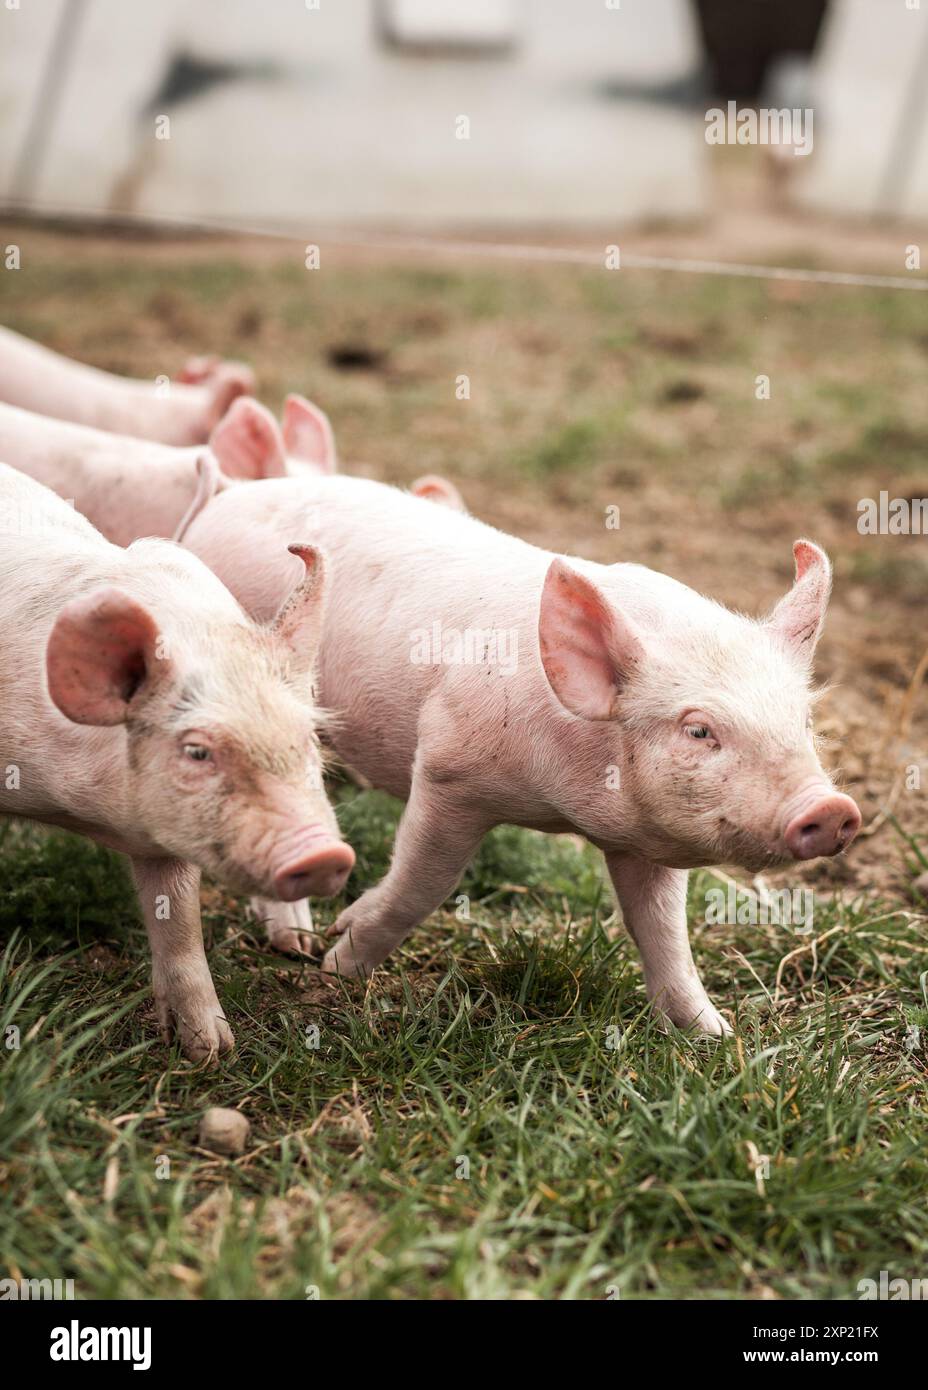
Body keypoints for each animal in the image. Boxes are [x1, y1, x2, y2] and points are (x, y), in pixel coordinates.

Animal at [0, 463, 354, 1059]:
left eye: (308, 738)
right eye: (196, 751)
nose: (324, 853)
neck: (75, 812)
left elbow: (180, 921)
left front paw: (209, 1051)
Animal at [180, 473, 861, 1035]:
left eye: (803, 719)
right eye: (698, 731)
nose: (830, 809)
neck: (560, 806)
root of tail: (227, 495)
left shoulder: (645, 839)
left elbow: (665, 931)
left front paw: (714, 1035)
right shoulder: (448, 766)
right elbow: (425, 883)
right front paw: (339, 962)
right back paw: (297, 943)